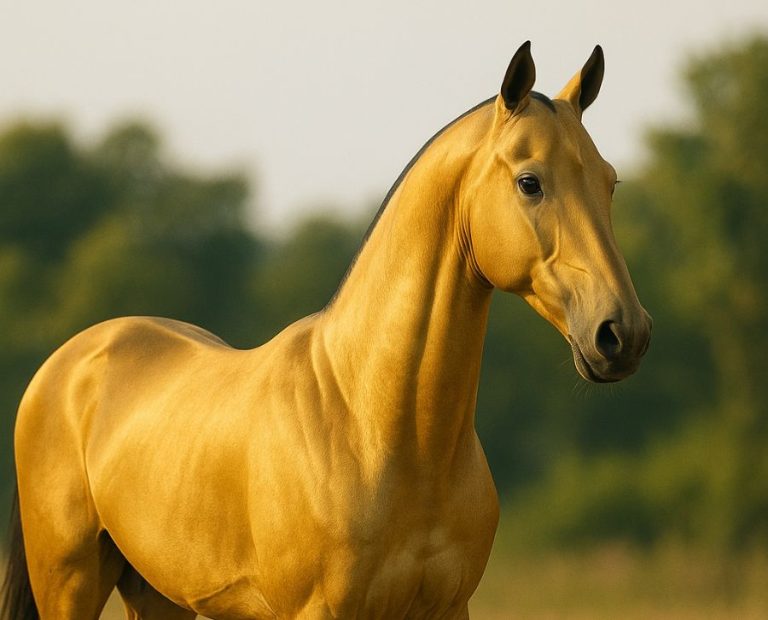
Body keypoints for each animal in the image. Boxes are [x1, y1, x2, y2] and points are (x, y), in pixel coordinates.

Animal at [2, 41, 651, 619]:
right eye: (529, 182)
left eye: (609, 180)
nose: (622, 333)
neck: (372, 425)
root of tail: (67, 363)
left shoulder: (447, 609)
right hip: (70, 581)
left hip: (158, 594)